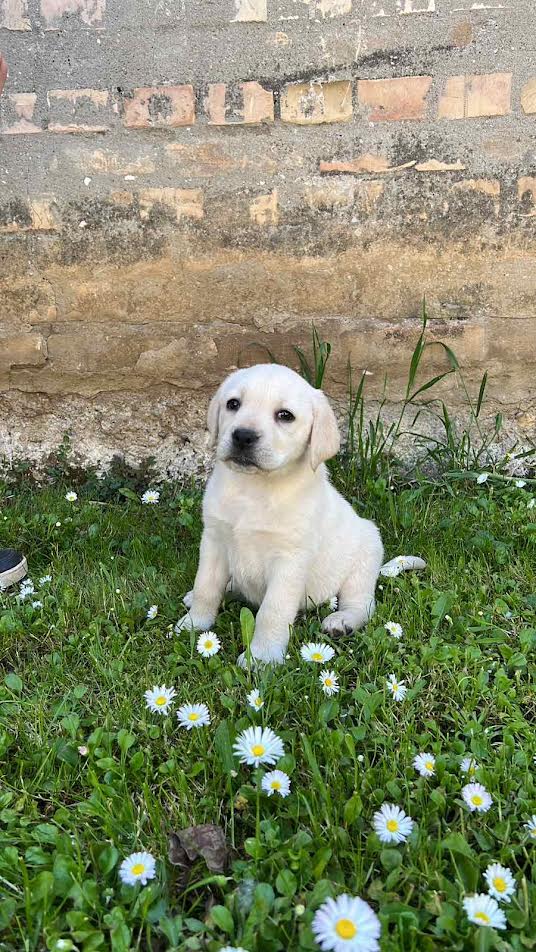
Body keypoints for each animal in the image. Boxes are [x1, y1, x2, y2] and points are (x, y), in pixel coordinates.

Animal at [178, 360, 384, 664]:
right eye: (233, 404)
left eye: (285, 415)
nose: (243, 436)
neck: (254, 488)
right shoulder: (214, 541)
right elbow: (206, 585)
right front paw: (195, 623)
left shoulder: (289, 561)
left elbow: (272, 611)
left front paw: (261, 658)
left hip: (365, 558)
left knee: (363, 604)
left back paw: (342, 621)